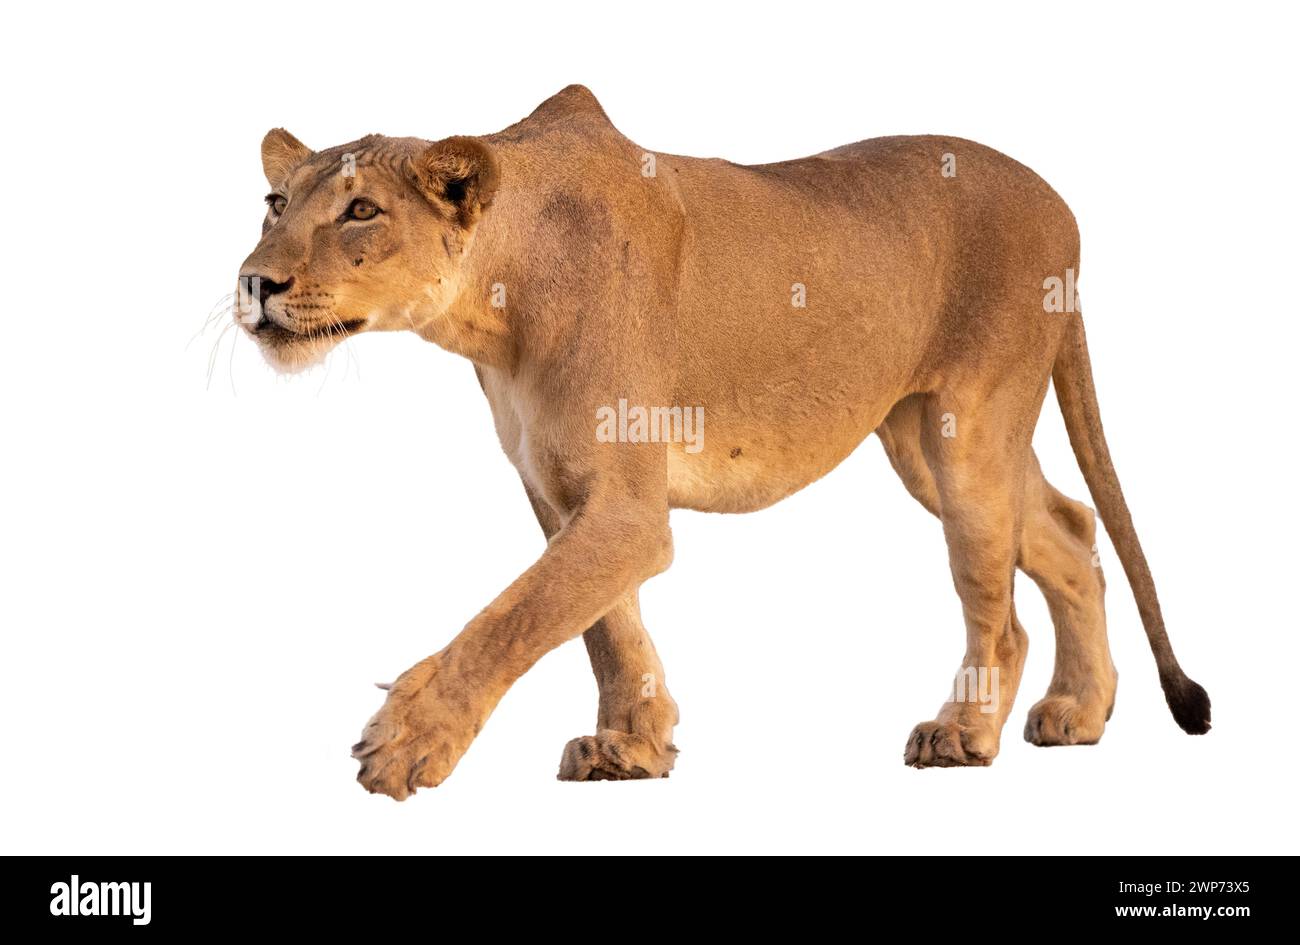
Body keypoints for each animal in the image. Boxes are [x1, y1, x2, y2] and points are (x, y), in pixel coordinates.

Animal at [235, 85, 1210, 799]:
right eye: (274, 204)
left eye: (360, 210)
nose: (253, 282)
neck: (494, 303)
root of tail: (1060, 201)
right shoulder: (559, 491)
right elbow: (601, 623)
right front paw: (632, 745)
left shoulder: (628, 508)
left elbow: (517, 615)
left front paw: (406, 738)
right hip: (921, 442)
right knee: (1071, 529)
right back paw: (1079, 711)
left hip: (968, 431)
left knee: (999, 608)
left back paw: (965, 731)